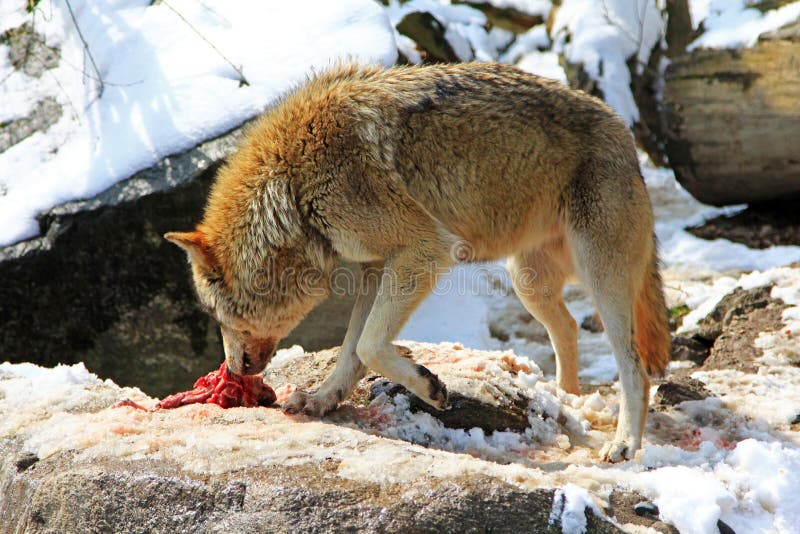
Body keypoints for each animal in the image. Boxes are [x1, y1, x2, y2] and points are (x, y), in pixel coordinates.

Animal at [165, 62, 670, 461]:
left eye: (217, 315)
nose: (233, 371)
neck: (292, 187)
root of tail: (625, 132)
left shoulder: (425, 249)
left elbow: (370, 345)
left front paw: (431, 388)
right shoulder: (375, 267)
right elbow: (352, 349)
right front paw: (325, 400)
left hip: (600, 280)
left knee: (635, 367)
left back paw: (625, 444)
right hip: (527, 281)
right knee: (565, 328)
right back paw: (565, 398)